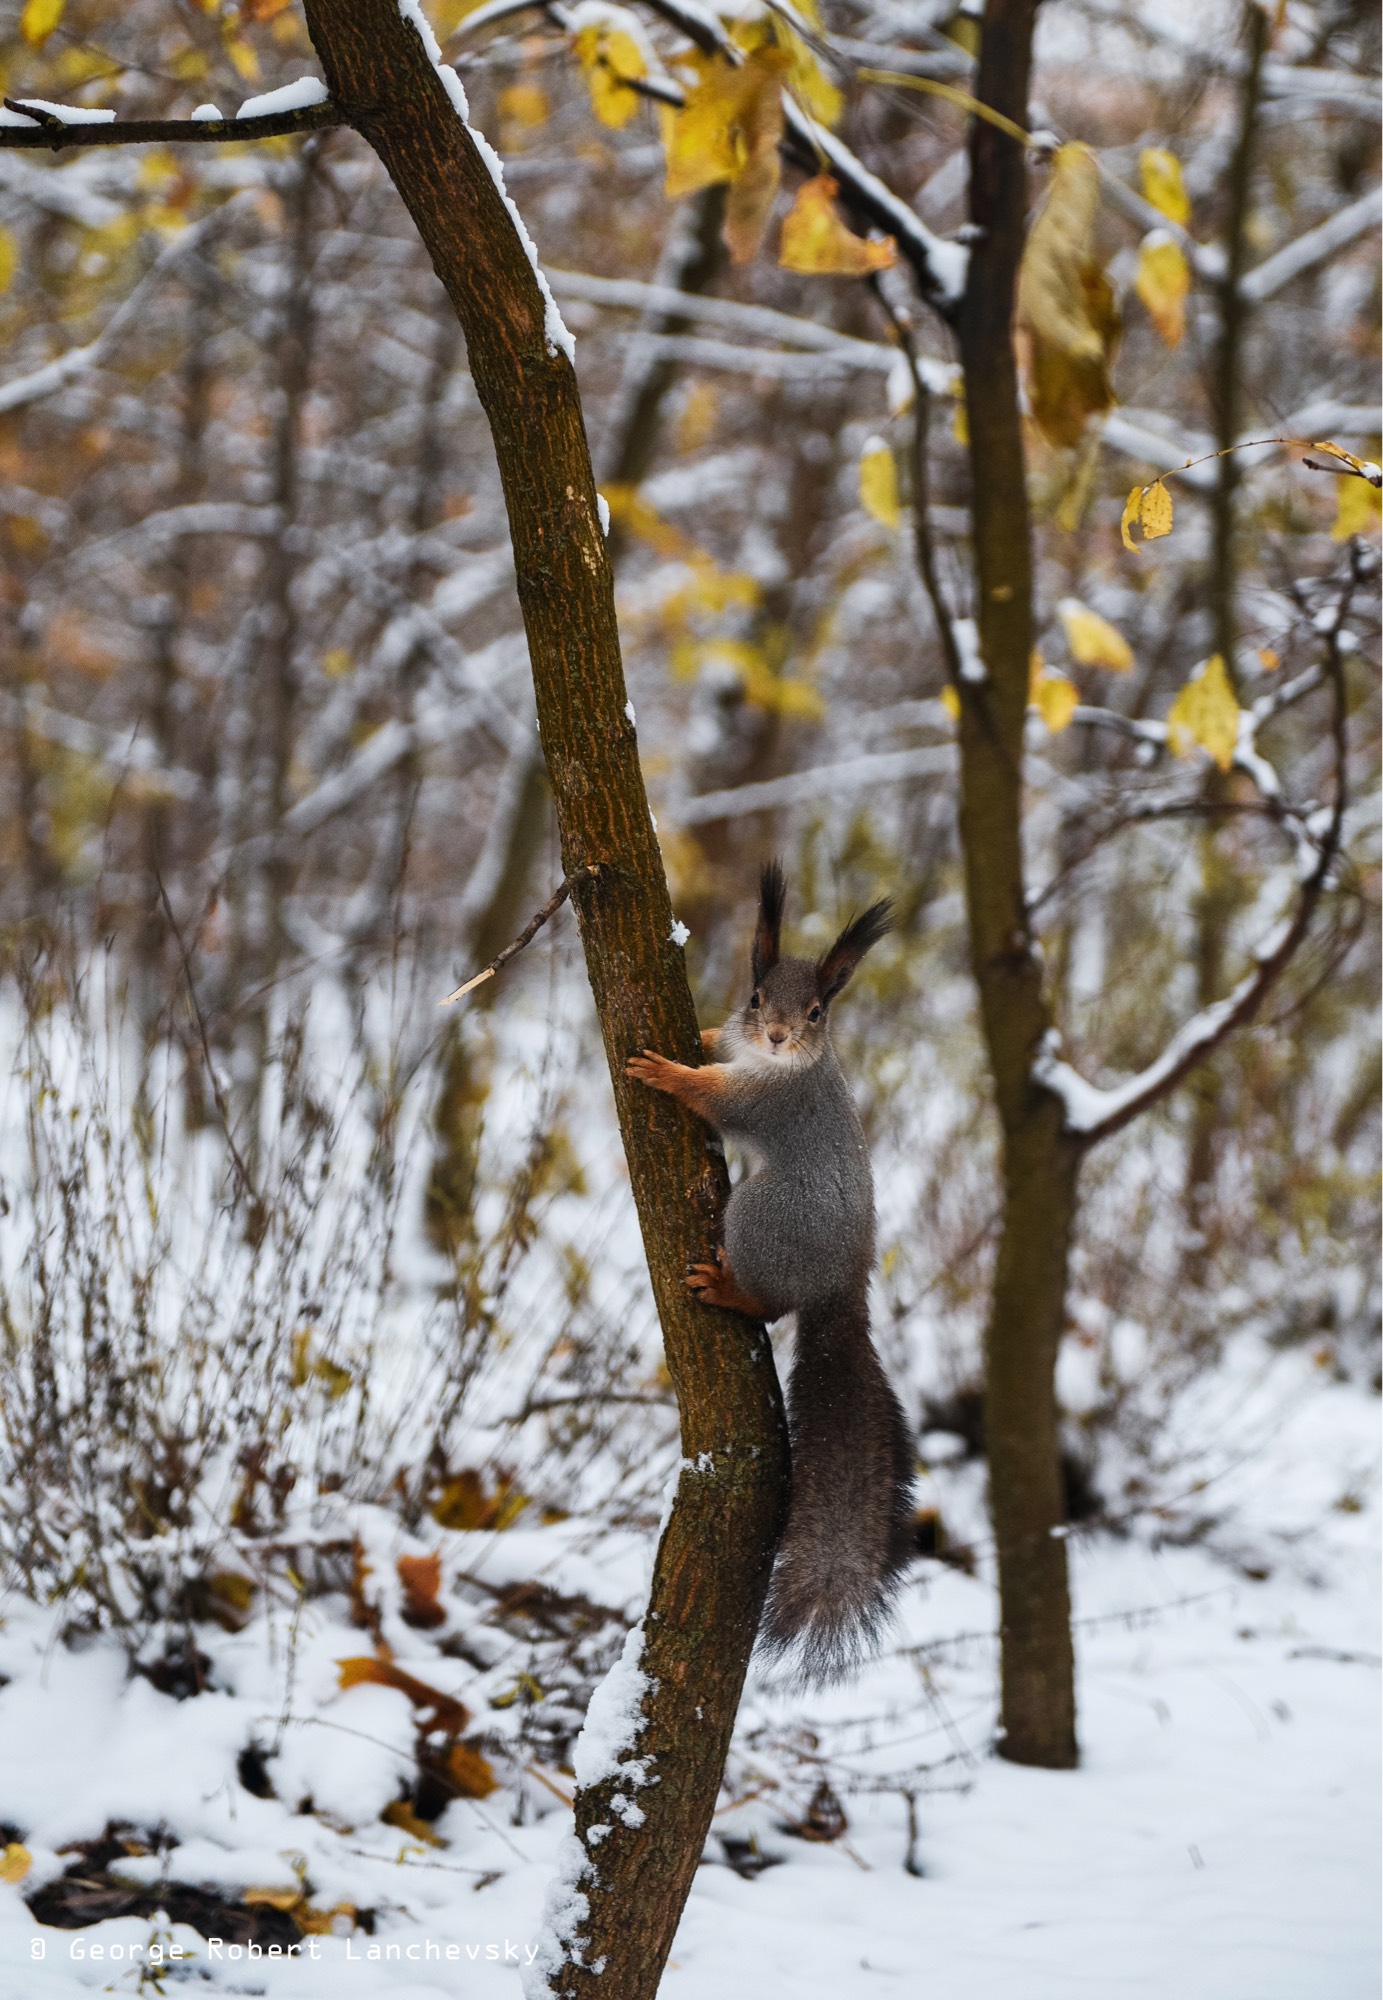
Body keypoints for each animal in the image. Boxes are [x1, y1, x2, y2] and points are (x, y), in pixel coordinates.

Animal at [627, 860, 919, 1688]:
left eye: (818, 1012)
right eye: (756, 997)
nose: (781, 1035)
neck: (768, 1062)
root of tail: (842, 1285)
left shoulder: (763, 1102)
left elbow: (713, 1097)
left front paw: (665, 1070)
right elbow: (713, 1045)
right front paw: (694, 1038)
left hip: (762, 1216)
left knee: (766, 1307)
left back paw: (729, 1290)